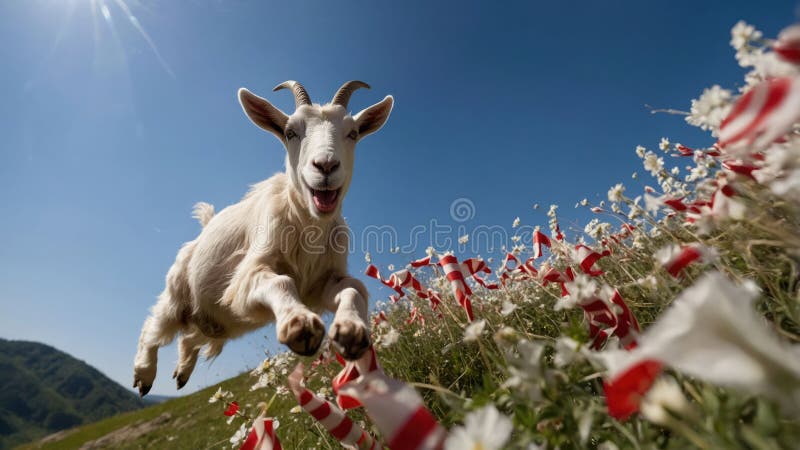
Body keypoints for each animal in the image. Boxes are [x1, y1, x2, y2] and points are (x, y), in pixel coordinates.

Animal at [133, 81, 393, 396]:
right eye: (290, 132)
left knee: (190, 337)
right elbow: (281, 281)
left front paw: (350, 331)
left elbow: (355, 288)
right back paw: (144, 374)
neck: (307, 225)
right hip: (178, 294)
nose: (325, 166)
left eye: (353, 133)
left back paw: (182, 372)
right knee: (153, 327)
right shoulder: (246, 276)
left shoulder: (321, 282)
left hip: (219, 321)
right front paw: (299, 325)